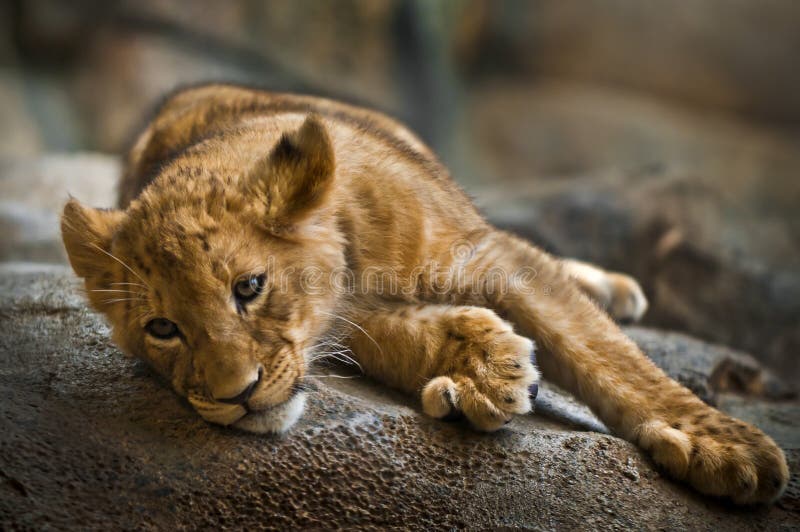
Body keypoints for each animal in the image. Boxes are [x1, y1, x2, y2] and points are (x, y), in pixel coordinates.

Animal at [60, 83, 787, 504]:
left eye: (249, 287)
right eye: (162, 329)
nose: (234, 395)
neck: (351, 267)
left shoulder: (486, 252)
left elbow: (606, 358)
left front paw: (725, 448)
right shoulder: (354, 325)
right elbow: (411, 337)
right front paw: (484, 371)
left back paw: (615, 288)